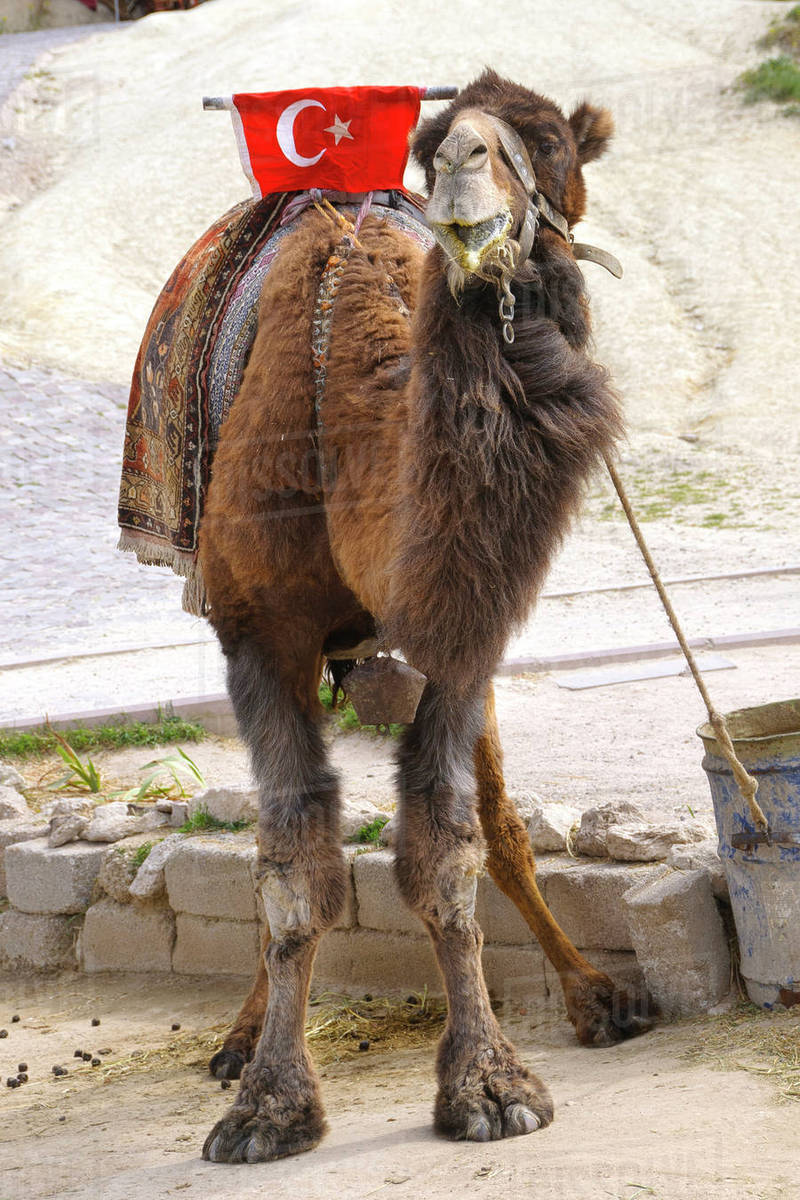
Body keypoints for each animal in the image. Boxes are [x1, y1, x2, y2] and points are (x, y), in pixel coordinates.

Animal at [197, 69, 651, 1164]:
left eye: (547, 142)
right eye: (430, 137)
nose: (459, 166)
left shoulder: (464, 630)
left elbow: (453, 849)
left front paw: (491, 1086)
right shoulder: (255, 634)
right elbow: (289, 864)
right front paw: (267, 1105)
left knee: (498, 820)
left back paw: (596, 996)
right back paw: (238, 1036)